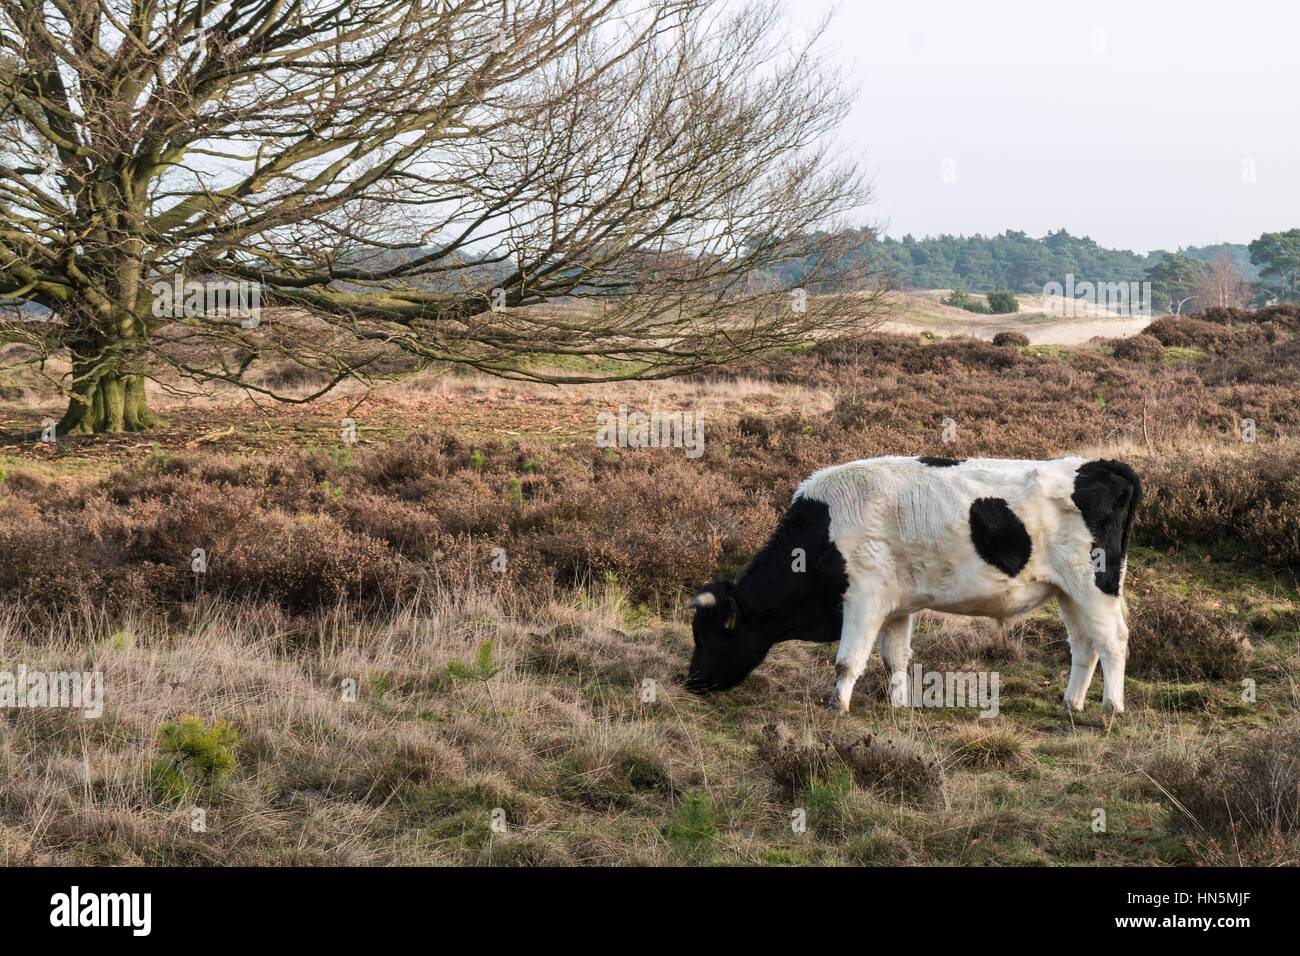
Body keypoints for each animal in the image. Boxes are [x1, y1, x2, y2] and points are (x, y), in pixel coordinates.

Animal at [685, 455, 1142, 716]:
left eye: (710, 637)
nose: (690, 683)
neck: (822, 528)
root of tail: (1102, 465)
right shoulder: (896, 606)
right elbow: (895, 659)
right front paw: (899, 705)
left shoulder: (863, 599)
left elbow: (847, 660)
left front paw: (837, 707)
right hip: (1068, 592)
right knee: (1084, 645)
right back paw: (1070, 704)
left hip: (1093, 585)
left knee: (1113, 641)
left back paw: (1111, 708)